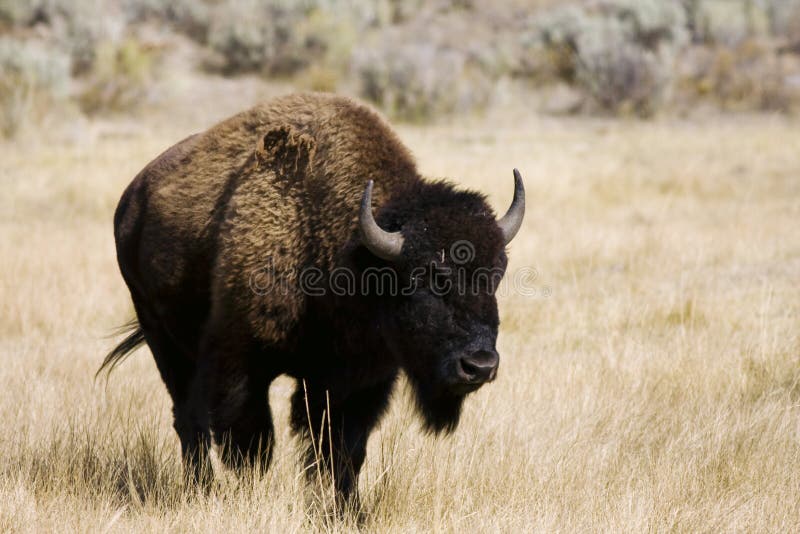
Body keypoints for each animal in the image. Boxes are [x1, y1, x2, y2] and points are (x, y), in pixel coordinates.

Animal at [102, 93, 524, 505]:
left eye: (496, 274)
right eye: (428, 277)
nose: (480, 366)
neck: (348, 253)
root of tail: (131, 198)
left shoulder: (358, 380)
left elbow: (344, 450)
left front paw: (347, 511)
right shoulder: (240, 363)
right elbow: (252, 445)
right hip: (161, 336)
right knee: (188, 417)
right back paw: (199, 489)